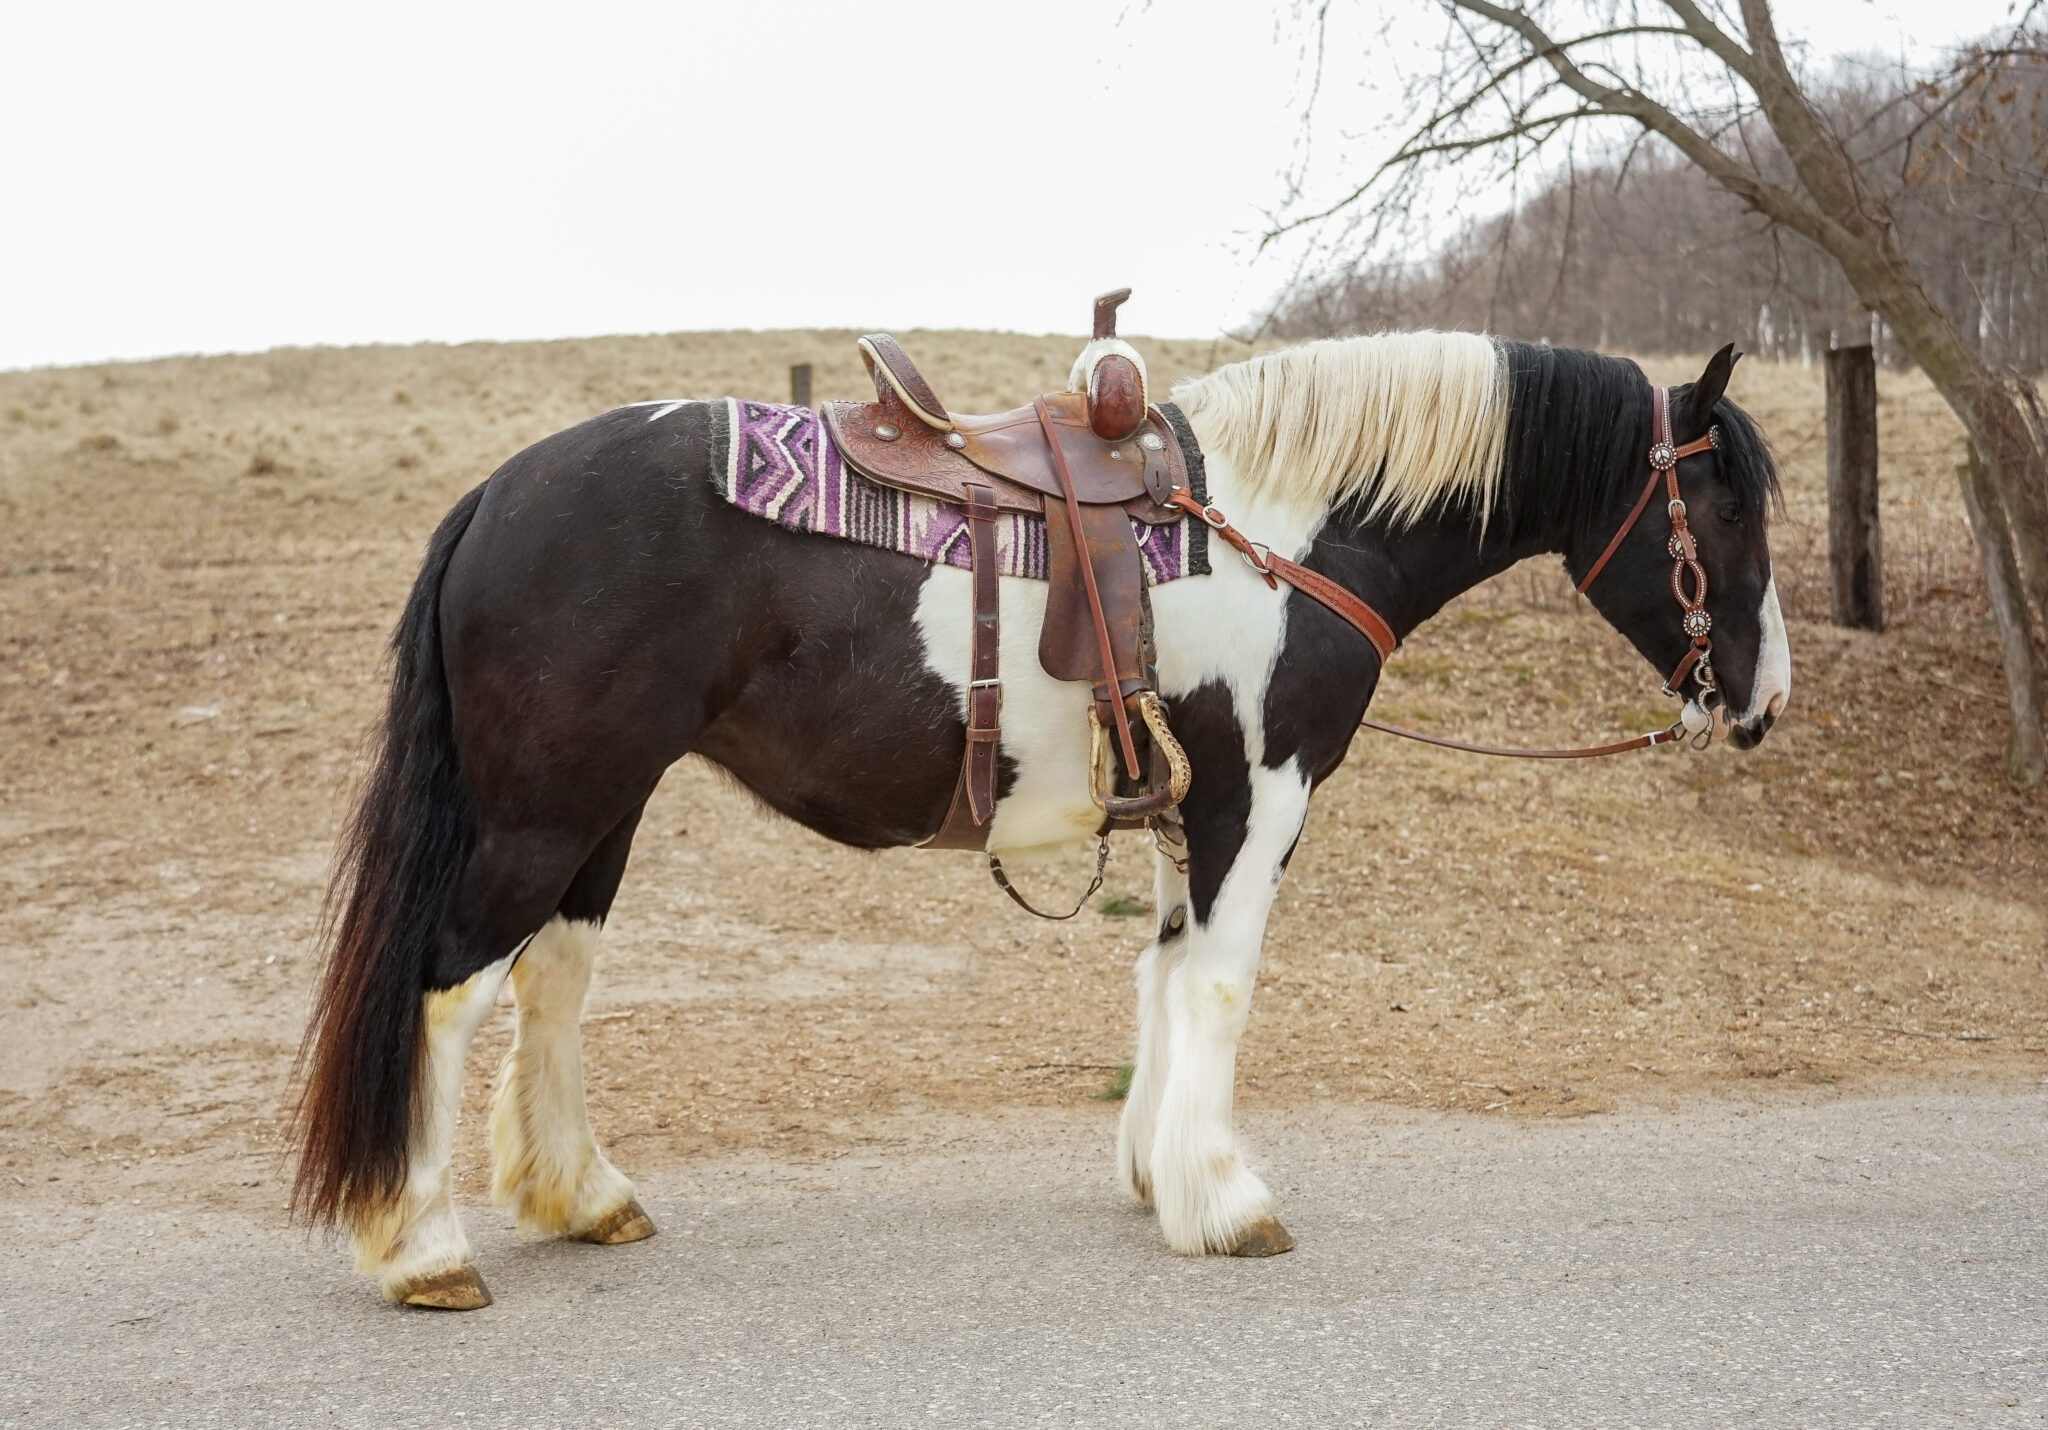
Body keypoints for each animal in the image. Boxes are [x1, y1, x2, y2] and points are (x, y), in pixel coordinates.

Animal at [292, 331, 1790, 1308]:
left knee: (553, 977)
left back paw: (584, 1194)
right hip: (546, 810)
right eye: (1721, 502)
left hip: (601, 806)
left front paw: (1156, 1172)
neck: (1281, 527)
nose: (1762, 697)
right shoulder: (1261, 788)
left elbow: (1165, 973)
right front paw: (1224, 1199)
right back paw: (425, 1249)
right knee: (447, 989)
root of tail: (497, 493)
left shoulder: (1189, 806)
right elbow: (1223, 984)